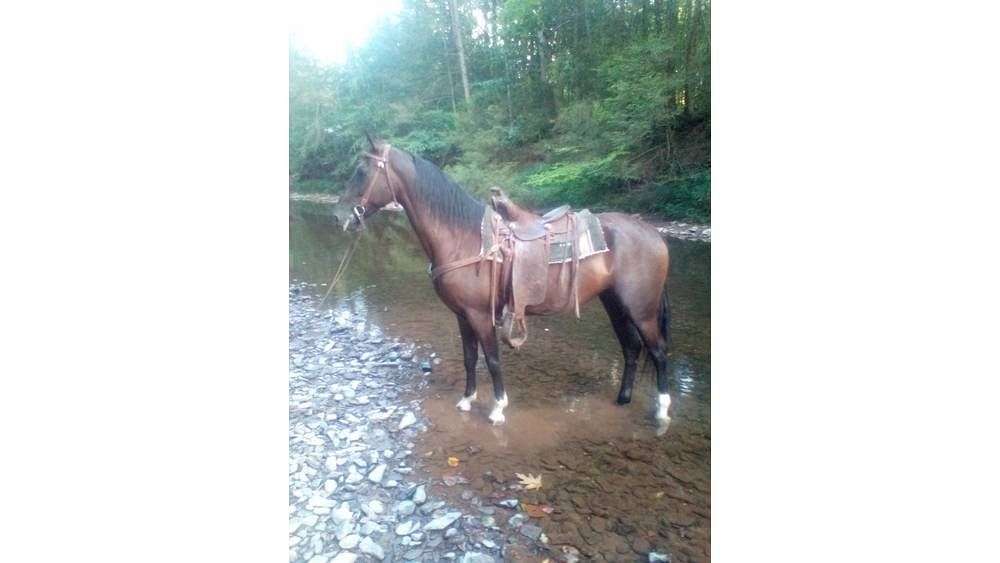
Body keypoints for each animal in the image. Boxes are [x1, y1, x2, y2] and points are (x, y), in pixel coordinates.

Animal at [339, 136, 672, 427]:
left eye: (362, 171)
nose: (342, 215)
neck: (465, 239)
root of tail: (652, 234)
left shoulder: (480, 315)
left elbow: (492, 360)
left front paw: (498, 408)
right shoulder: (462, 316)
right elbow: (470, 358)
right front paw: (467, 399)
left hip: (641, 310)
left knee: (657, 352)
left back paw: (662, 410)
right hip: (615, 304)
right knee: (631, 348)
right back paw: (623, 399)